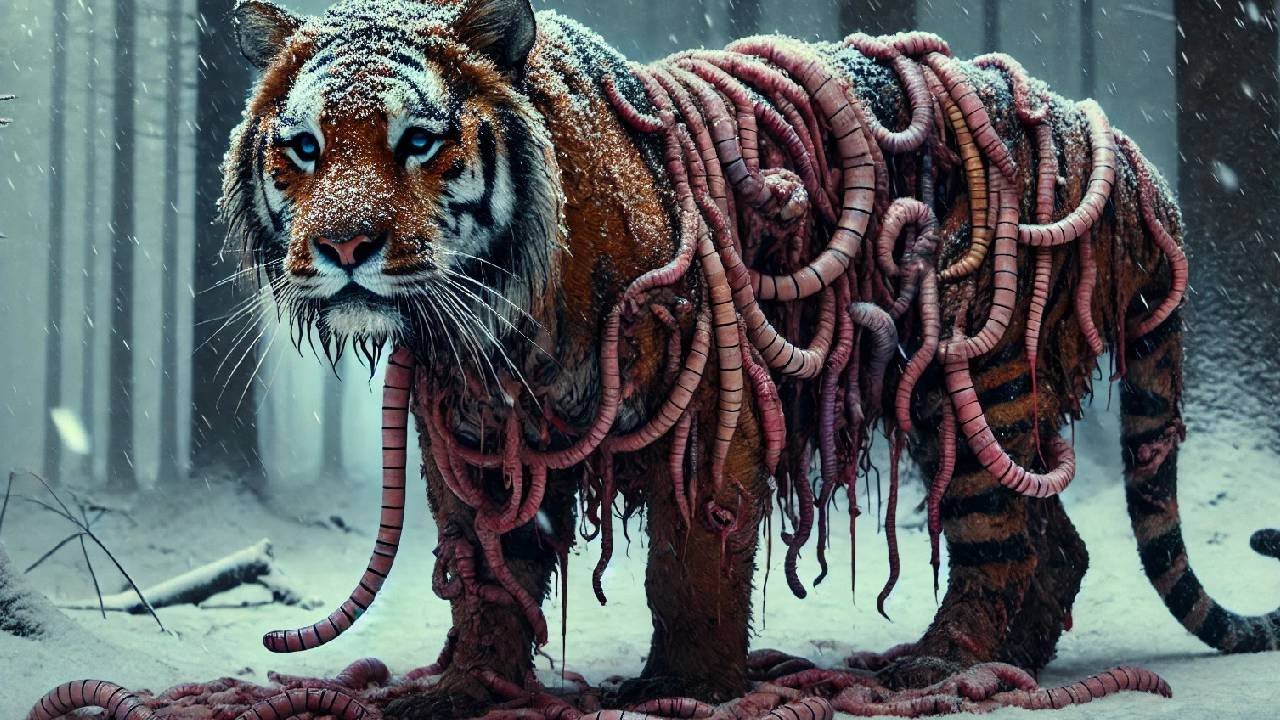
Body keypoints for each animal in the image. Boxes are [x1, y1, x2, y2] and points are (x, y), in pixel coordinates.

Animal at [210, 0, 1280, 717]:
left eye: (418, 142)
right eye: (303, 148)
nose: (345, 248)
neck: (493, 316)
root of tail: (1117, 145)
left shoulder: (706, 412)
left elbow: (691, 565)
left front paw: (684, 686)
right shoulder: (477, 434)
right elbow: (487, 567)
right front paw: (468, 686)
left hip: (977, 374)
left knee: (1003, 537)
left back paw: (946, 666)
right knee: (1056, 542)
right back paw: (1015, 664)